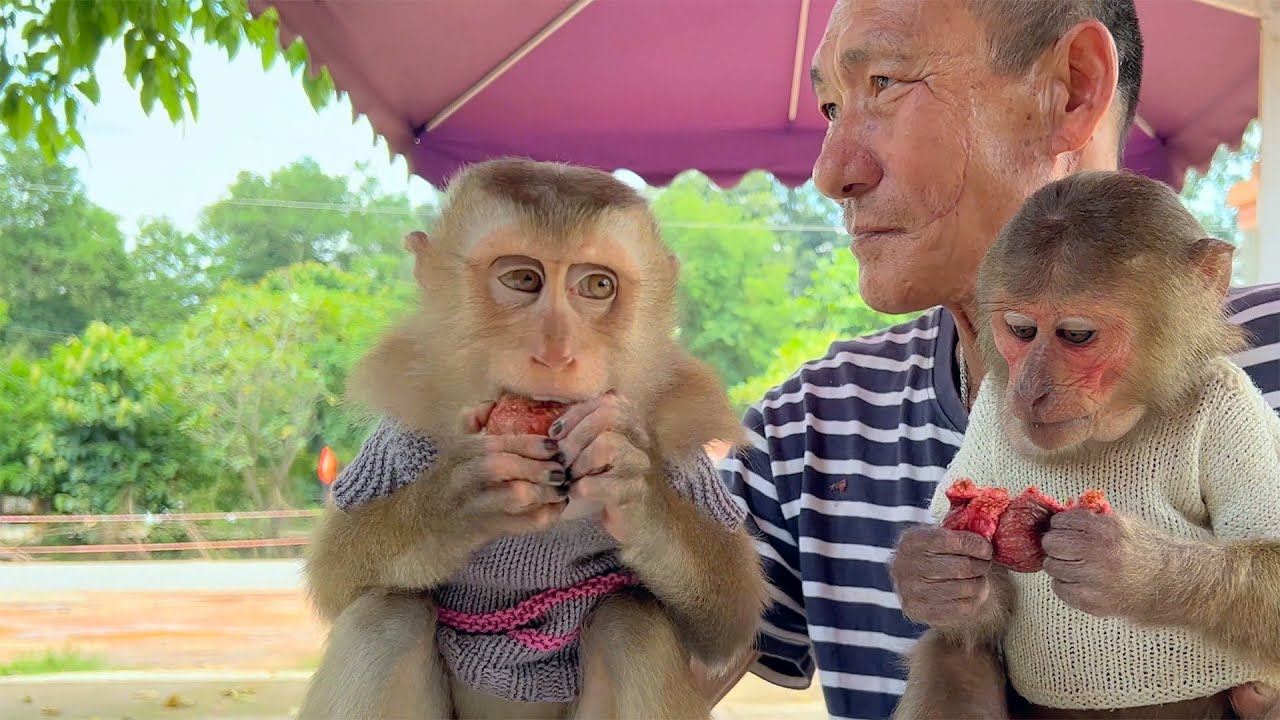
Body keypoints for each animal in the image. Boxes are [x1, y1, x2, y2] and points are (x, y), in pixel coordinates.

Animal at [295, 157, 769, 720]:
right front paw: (453, 504)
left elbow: (728, 624)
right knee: (382, 619)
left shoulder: (683, 448)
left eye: (597, 286)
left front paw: (636, 488)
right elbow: (334, 577)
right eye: (522, 278)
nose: (557, 351)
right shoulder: (398, 443)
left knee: (633, 623)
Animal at [888, 170, 1280, 720]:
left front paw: (1134, 566)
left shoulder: (1232, 411)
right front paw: (929, 576)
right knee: (952, 655)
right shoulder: (990, 410)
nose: (1030, 388)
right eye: (1021, 331)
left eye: (1076, 336)